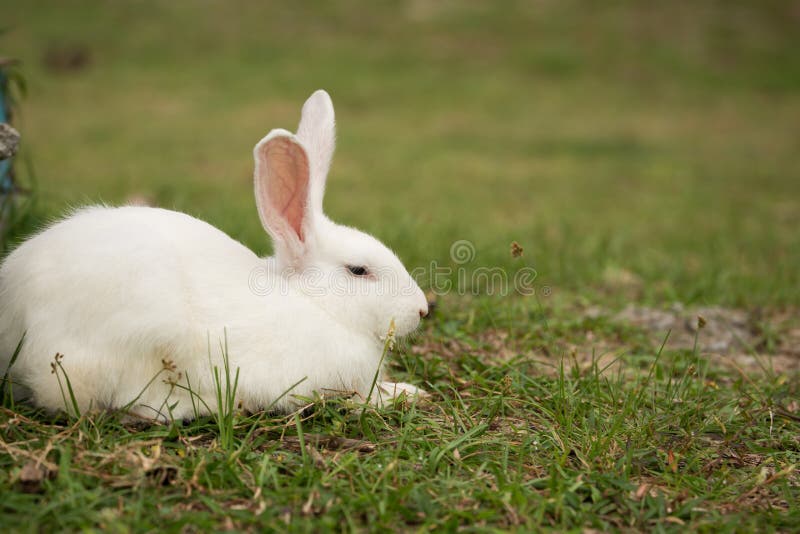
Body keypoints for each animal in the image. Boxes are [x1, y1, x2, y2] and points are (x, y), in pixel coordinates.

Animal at [0, 89, 429, 421]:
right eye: (359, 270)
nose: (423, 310)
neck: (314, 305)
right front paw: (403, 394)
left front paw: (408, 390)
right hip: (135, 341)